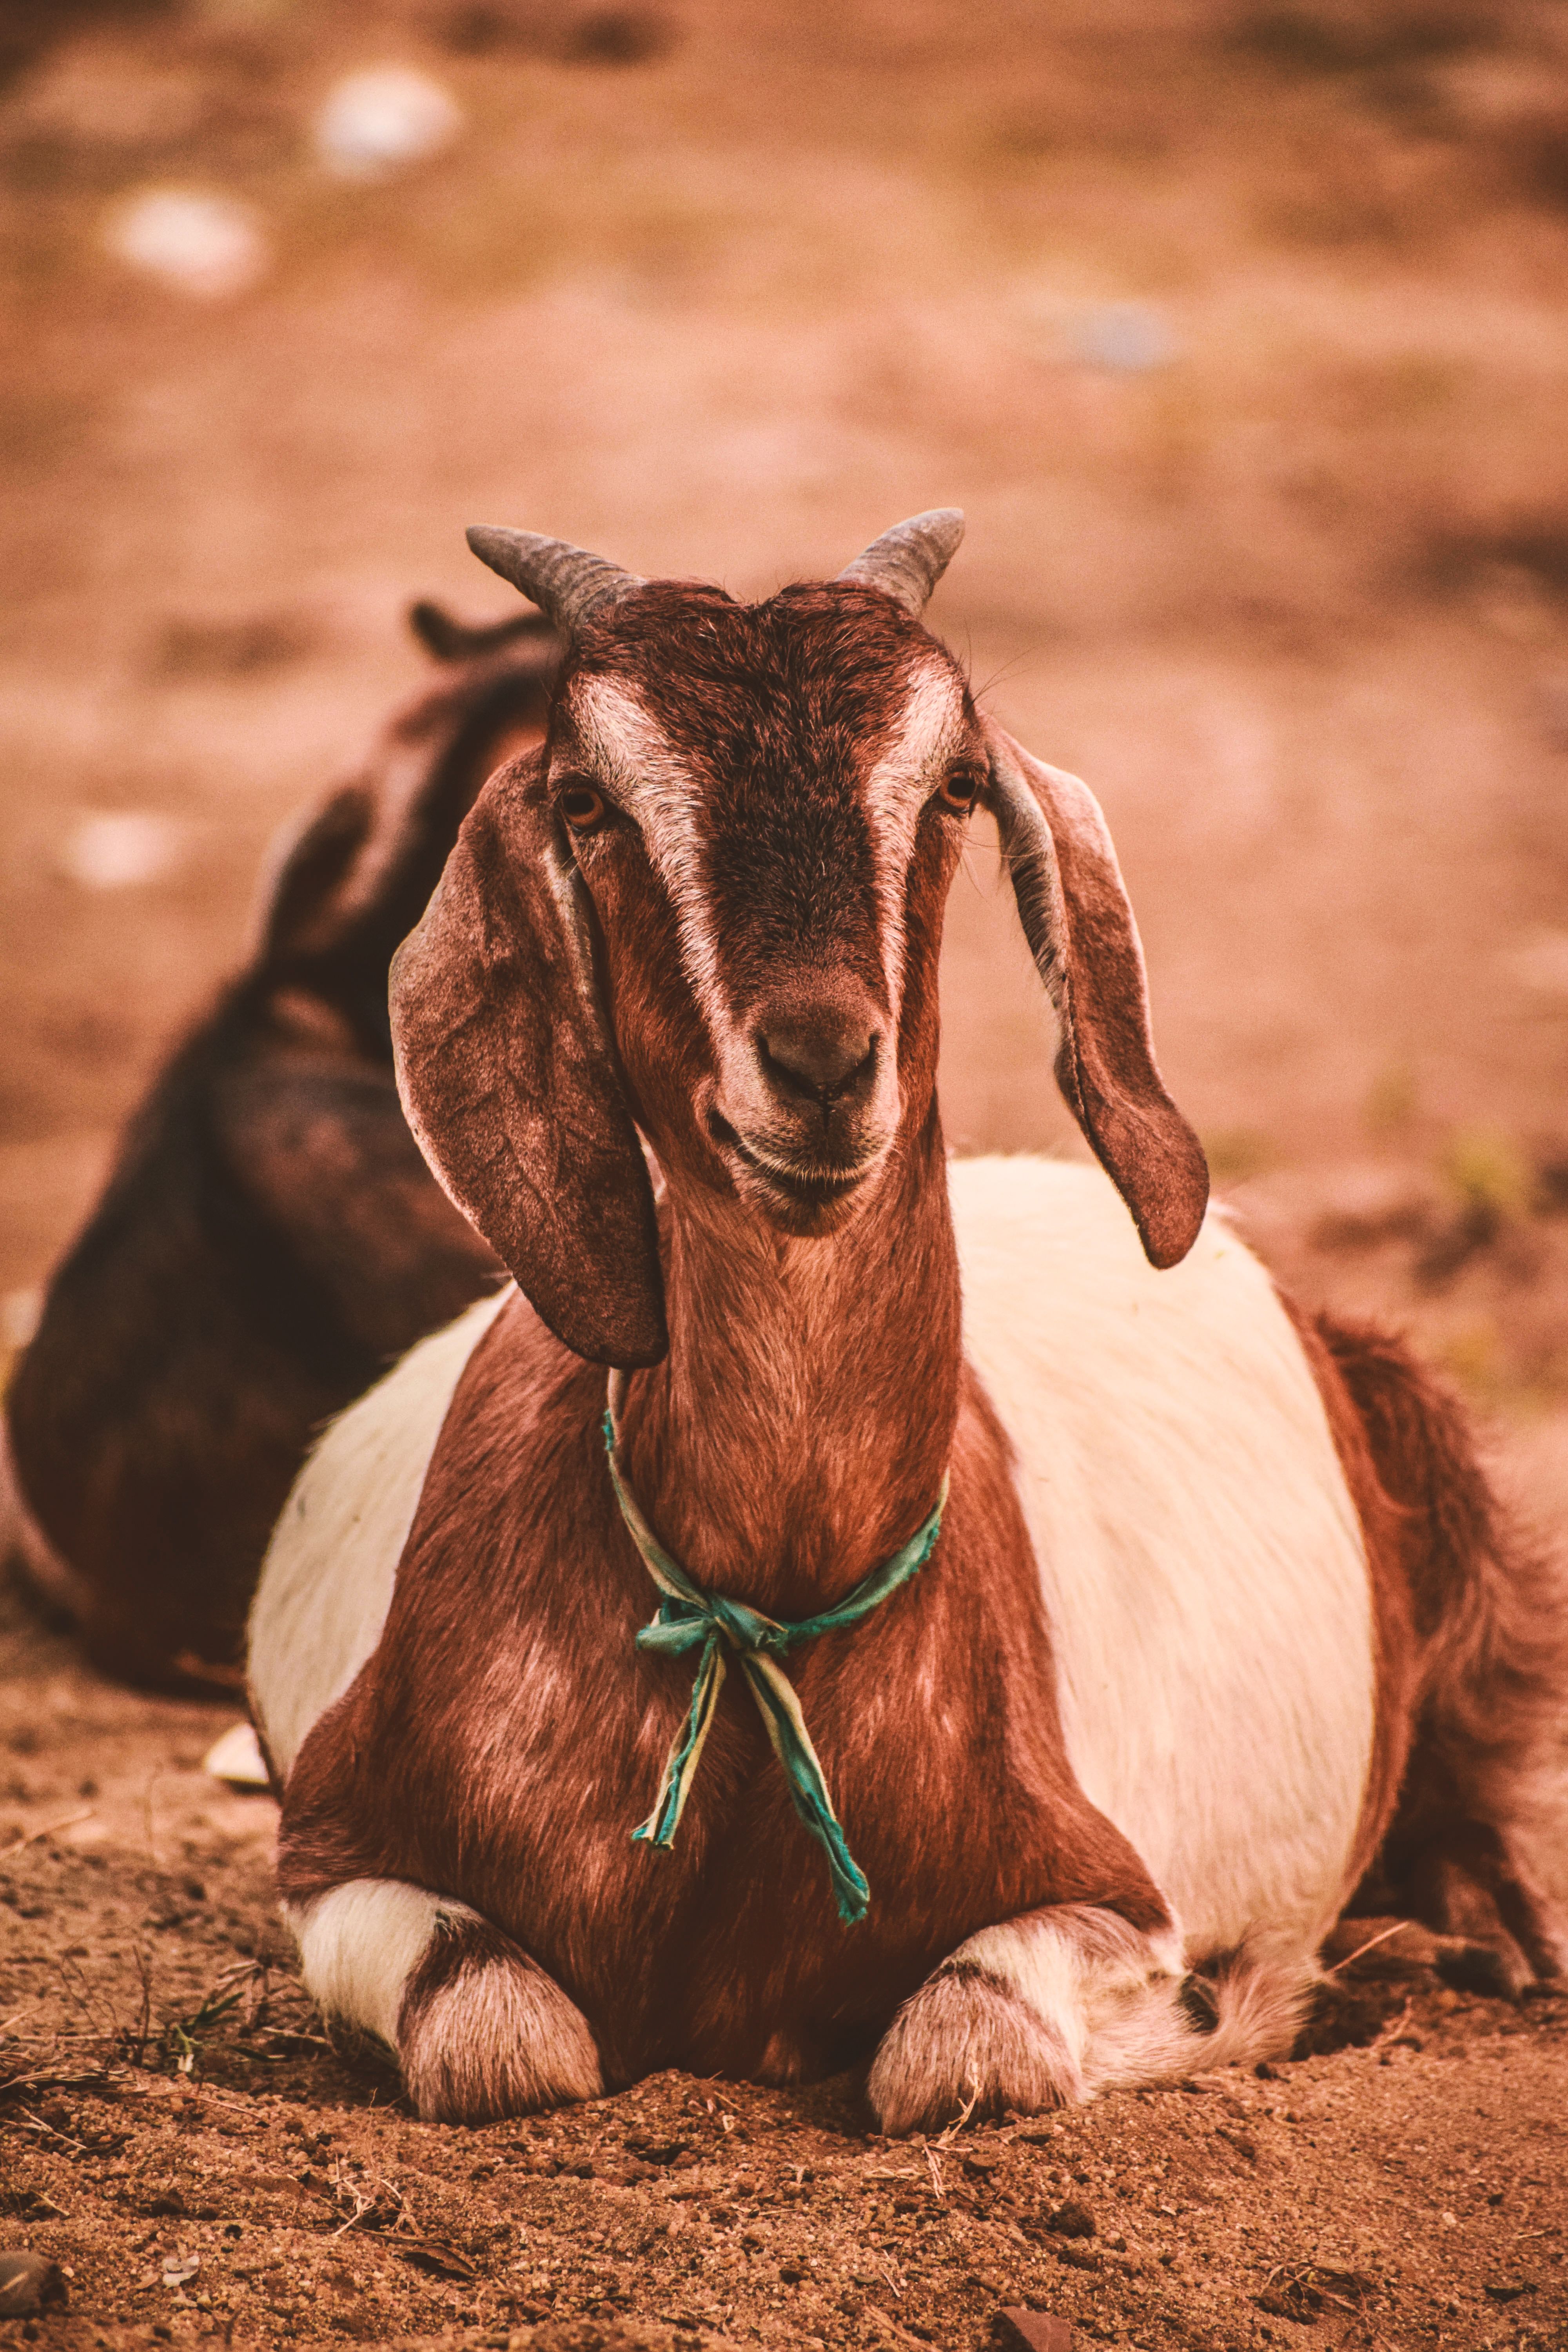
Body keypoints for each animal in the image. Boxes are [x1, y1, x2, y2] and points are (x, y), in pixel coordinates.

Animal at [248, 515, 1567, 2132]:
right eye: (585, 800)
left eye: (949, 786)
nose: (820, 1067)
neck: (761, 1612)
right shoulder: (339, 1859)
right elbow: (501, 2040)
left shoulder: (1097, 1893)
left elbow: (965, 2049)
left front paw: (1230, 2009)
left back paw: (1494, 1928)